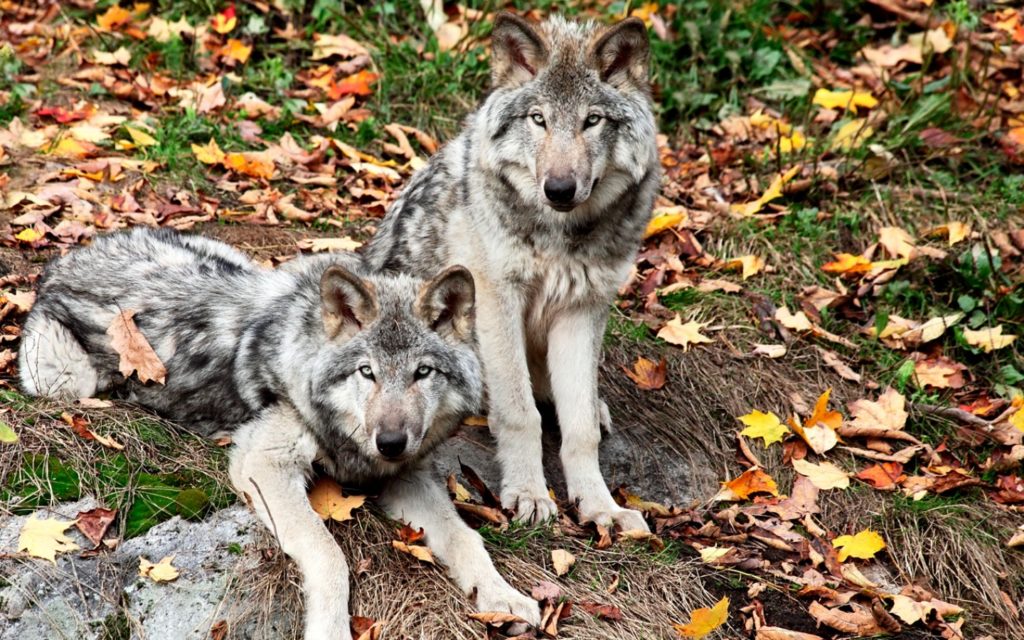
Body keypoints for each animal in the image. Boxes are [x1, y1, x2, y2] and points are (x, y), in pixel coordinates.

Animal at [18, 227, 540, 639]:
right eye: (367, 372)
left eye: (423, 373)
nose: (391, 443)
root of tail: (66, 258)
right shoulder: (262, 463)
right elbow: (330, 556)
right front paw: (330, 630)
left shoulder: (404, 476)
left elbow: (466, 539)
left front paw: (503, 596)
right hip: (63, 382)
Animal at [365, 13, 659, 531]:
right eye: (538, 119)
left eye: (592, 120)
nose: (559, 188)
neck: (561, 238)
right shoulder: (497, 298)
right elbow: (521, 414)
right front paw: (528, 494)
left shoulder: (582, 310)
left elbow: (580, 428)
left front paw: (600, 506)